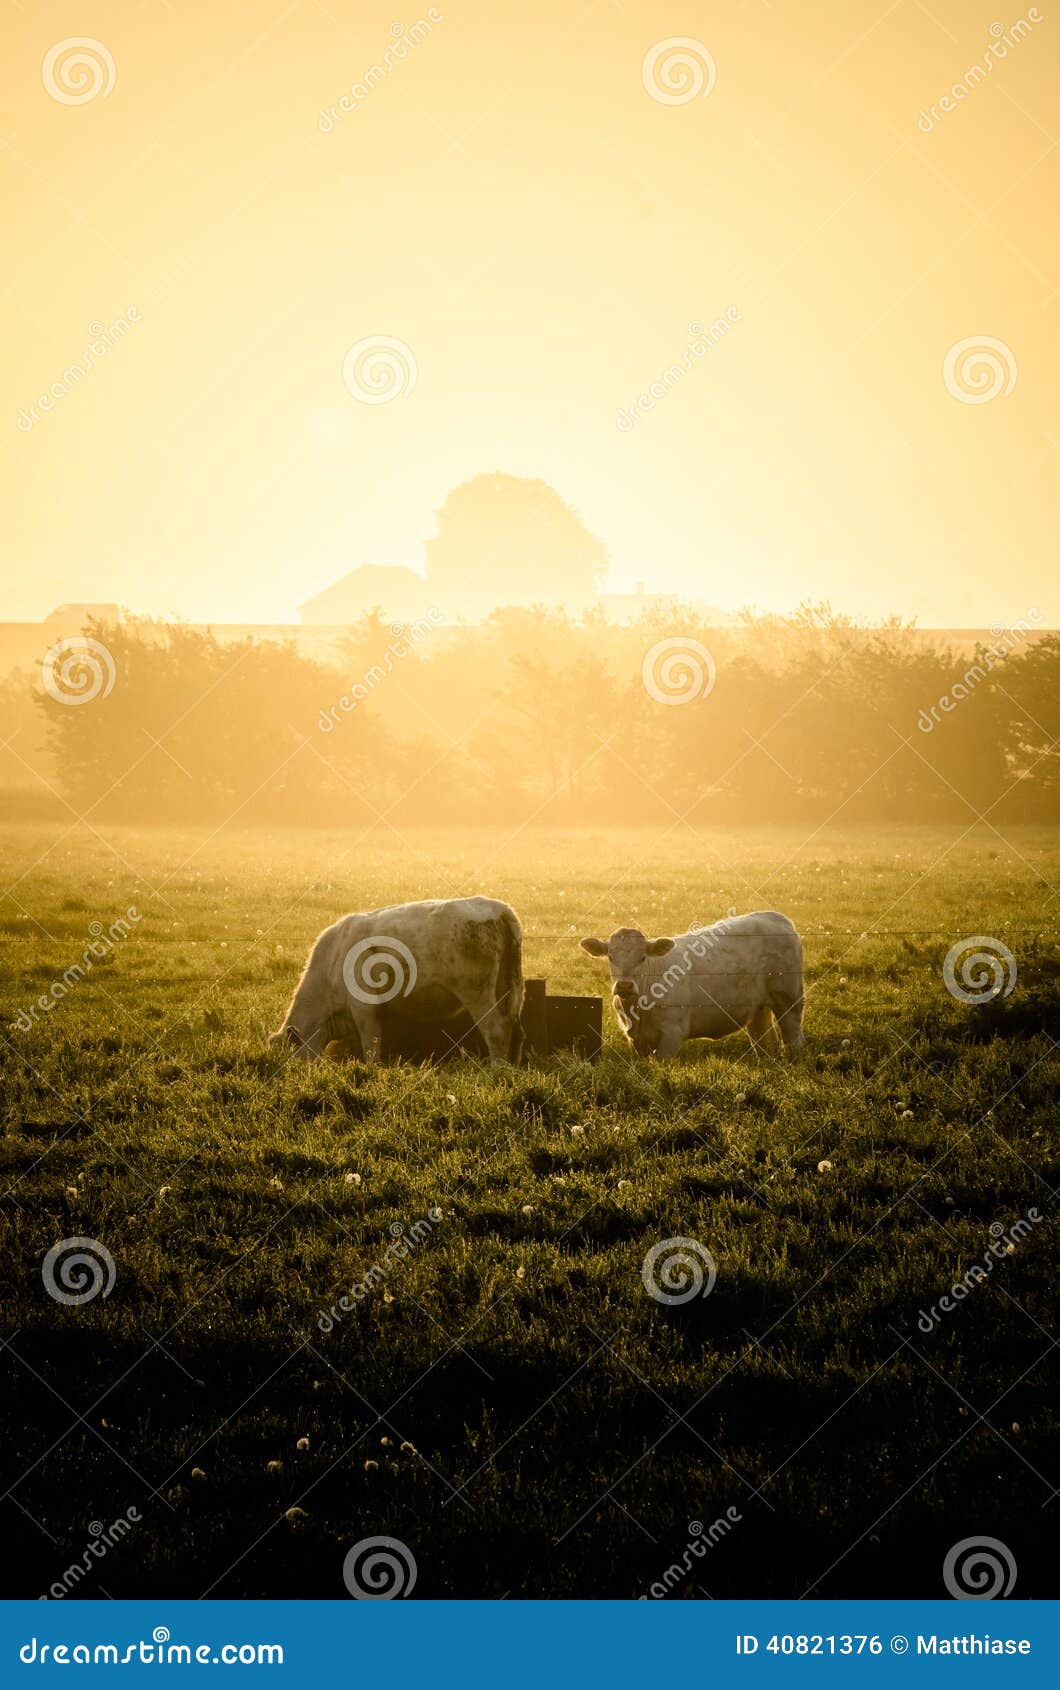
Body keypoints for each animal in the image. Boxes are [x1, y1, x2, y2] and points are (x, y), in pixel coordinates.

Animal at [271, 897, 524, 1064]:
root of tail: (499, 908)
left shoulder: (364, 1008)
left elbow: (371, 1043)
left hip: (478, 994)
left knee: (495, 1030)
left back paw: (496, 1067)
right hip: (510, 991)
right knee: (514, 1029)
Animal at [579, 911, 805, 1060]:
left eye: (642, 958)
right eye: (610, 957)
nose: (625, 986)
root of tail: (774, 916)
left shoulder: (672, 1034)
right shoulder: (635, 1039)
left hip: (789, 1001)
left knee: (793, 1037)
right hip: (758, 1009)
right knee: (765, 1042)